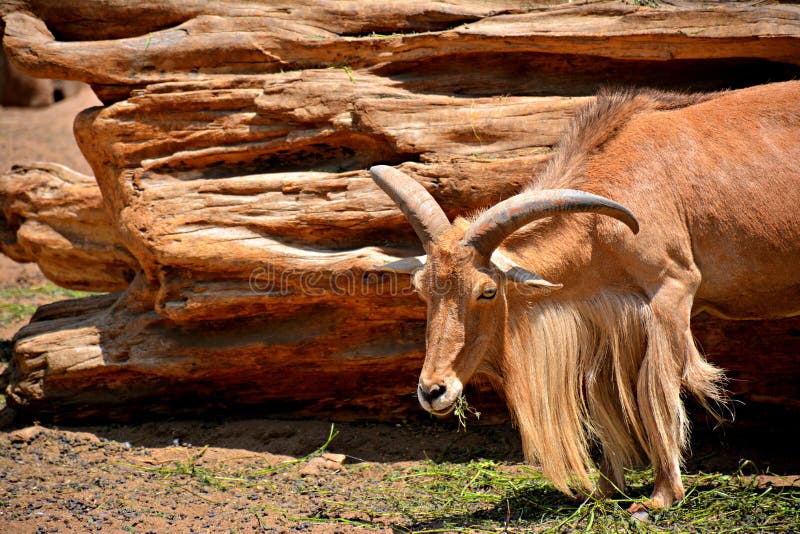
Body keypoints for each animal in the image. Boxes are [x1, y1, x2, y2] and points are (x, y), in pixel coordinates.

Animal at [371, 81, 800, 510]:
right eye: (421, 288)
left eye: (488, 291)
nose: (433, 390)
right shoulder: (603, 314)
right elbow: (606, 397)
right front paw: (606, 488)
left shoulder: (672, 290)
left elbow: (656, 390)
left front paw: (660, 497)